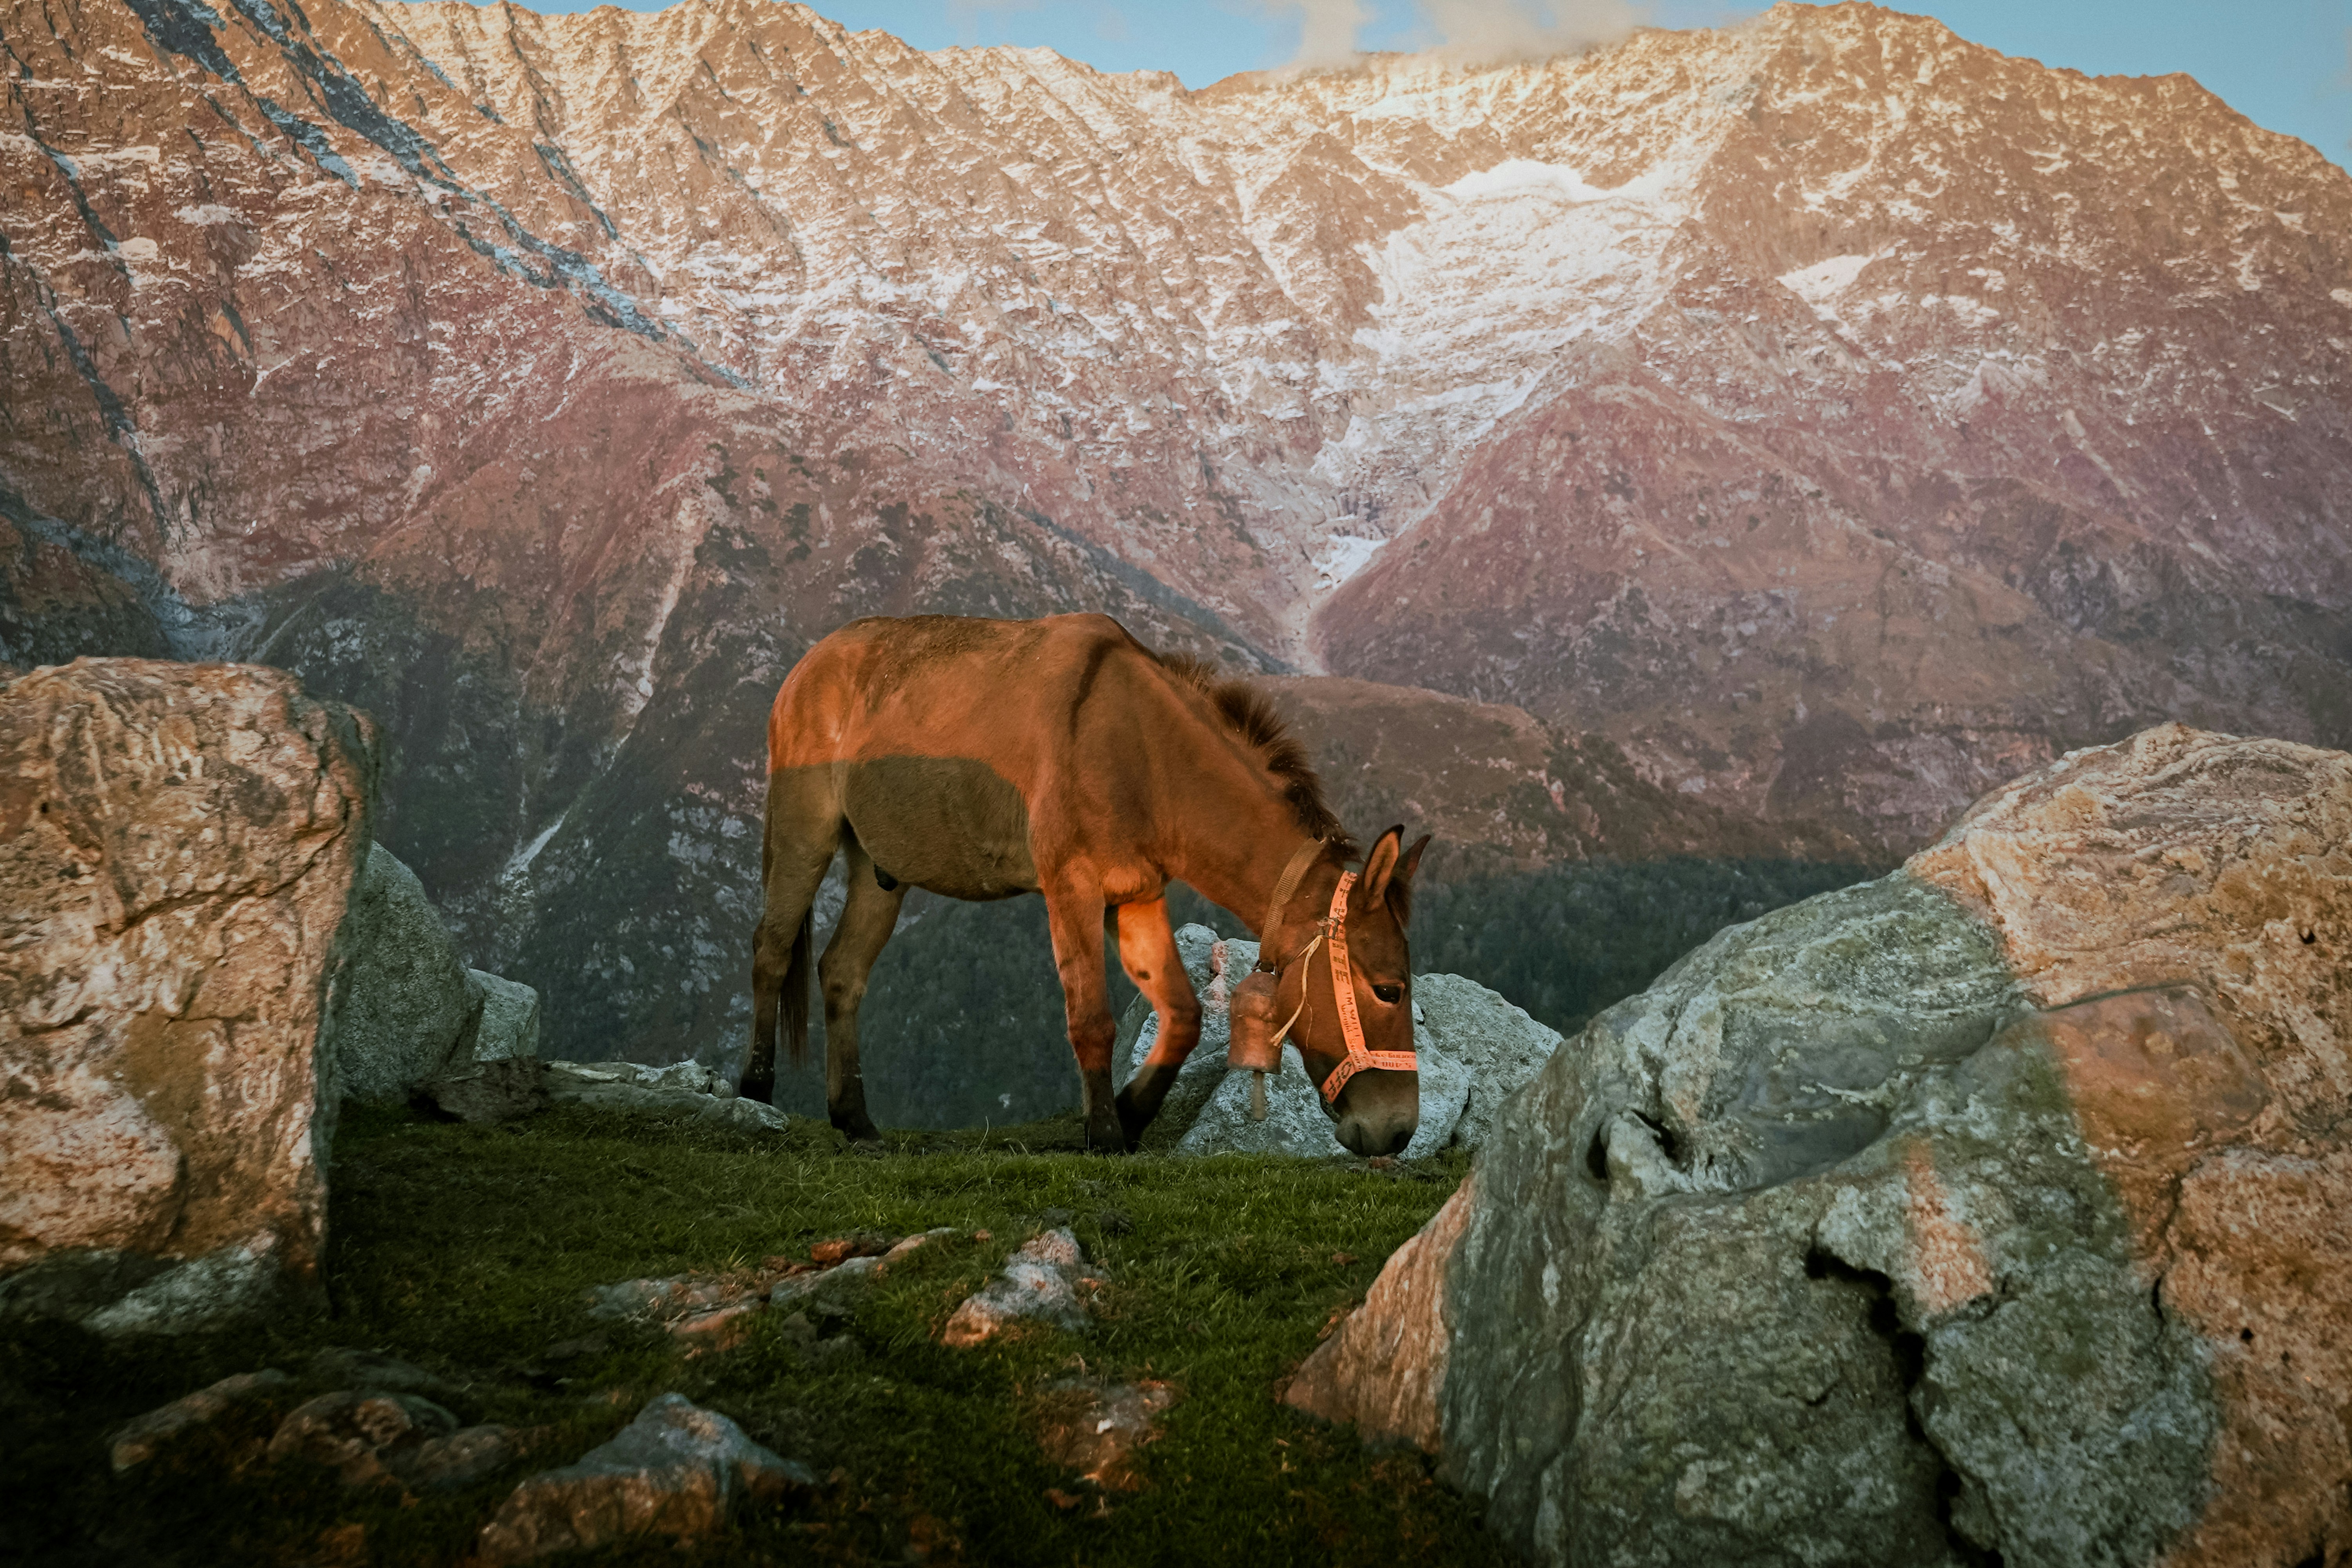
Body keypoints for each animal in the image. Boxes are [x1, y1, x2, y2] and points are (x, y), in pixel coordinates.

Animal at [738, 612, 1431, 1155]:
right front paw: (1104, 1131)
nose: (1398, 1131)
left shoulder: (1136, 896)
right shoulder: (1071, 888)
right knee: (771, 951)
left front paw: (1130, 1112)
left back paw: (855, 1121)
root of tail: (809, 664)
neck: (1144, 753)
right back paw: (755, 1093)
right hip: (805, 832)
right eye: (1389, 990)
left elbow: (1182, 1016)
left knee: (841, 973)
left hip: (880, 871)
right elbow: (1091, 1018)